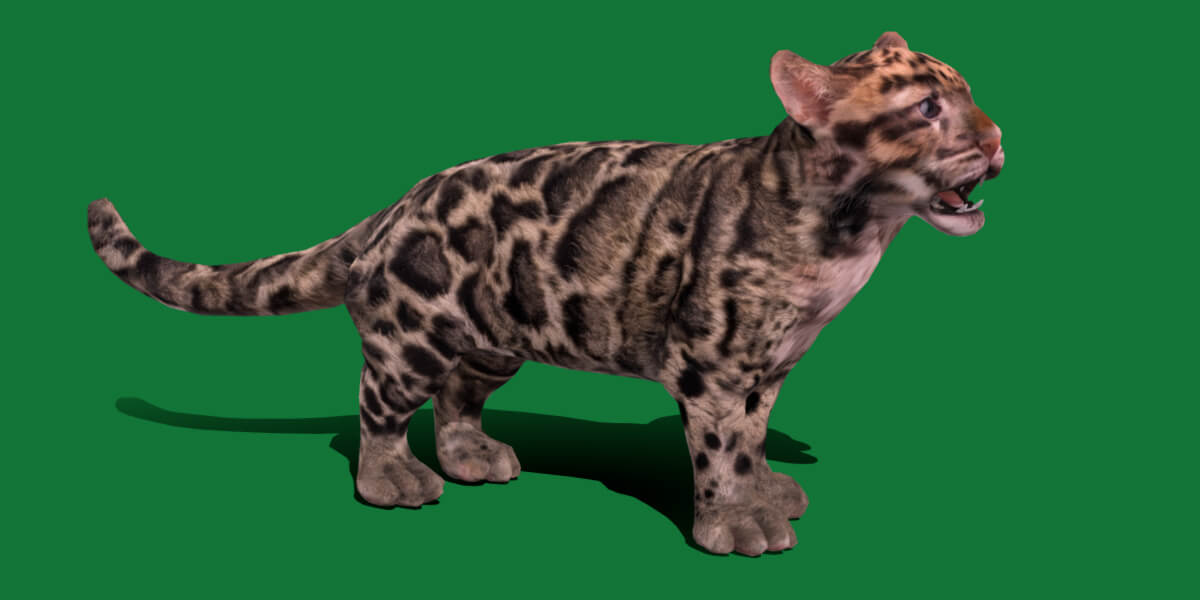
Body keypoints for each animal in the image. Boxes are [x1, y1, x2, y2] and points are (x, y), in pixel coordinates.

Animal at [87, 32, 1003, 556]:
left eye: (967, 93)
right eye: (928, 108)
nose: (998, 139)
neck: (852, 237)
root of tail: (395, 205)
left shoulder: (768, 365)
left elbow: (752, 436)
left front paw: (767, 488)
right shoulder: (710, 364)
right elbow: (720, 448)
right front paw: (734, 523)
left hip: (493, 338)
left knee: (457, 397)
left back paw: (470, 457)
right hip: (411, 336)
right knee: (378, 408)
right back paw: (394, 481)